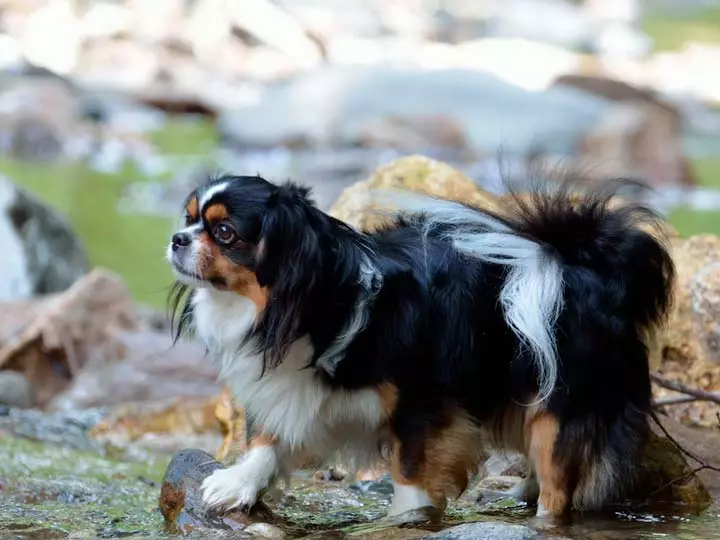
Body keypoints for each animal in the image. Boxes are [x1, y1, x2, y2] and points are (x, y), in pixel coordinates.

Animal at [167, 172, 676, 524]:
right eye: (190, 218)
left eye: (225, 232)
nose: (176, 238)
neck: (311, 304)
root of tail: (576, 262)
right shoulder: (288, 387)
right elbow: (266, 440)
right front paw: (237, 483)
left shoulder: (421, 408)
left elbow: (410, 473)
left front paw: (404, 521)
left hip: (560, 409)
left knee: (557, 488)